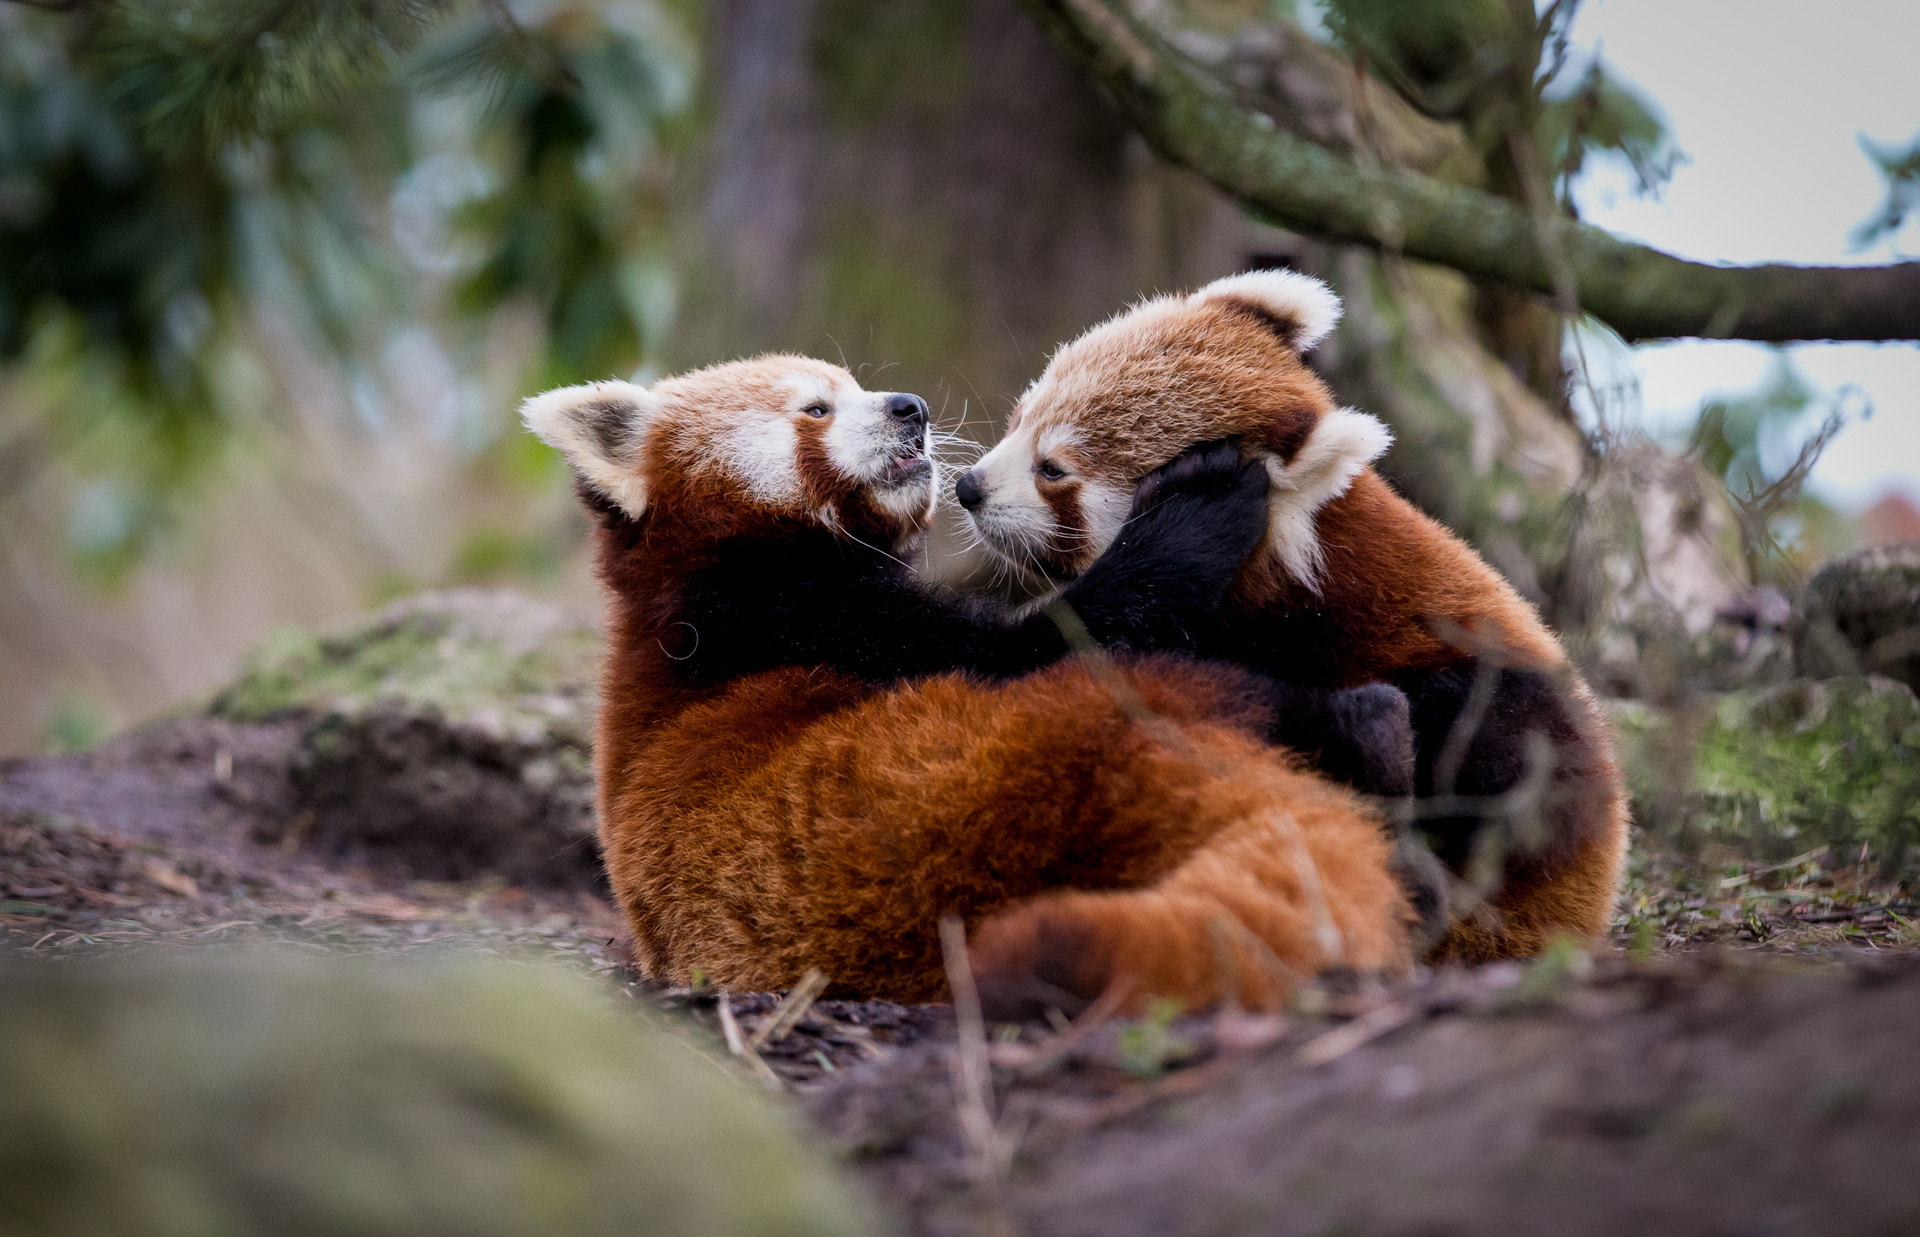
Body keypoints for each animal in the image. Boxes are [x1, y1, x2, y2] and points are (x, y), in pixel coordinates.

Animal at [522, 354, 1413, 1013]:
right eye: (817, 408)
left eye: (858, 386)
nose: (908, 406)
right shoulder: (780, 612)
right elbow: (1037, 639)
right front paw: (1200, 504)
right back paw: (1364, 729)